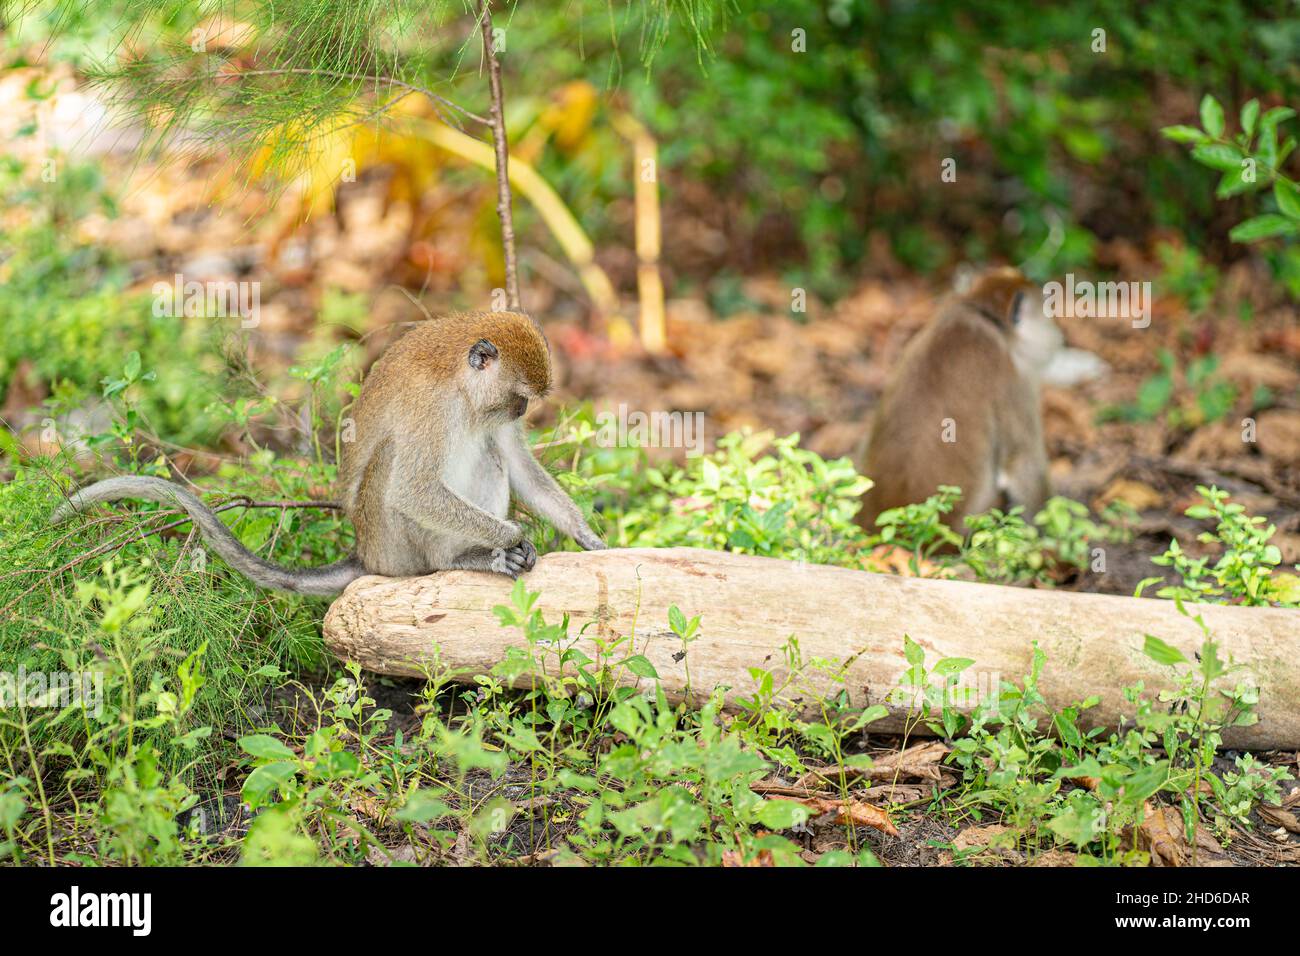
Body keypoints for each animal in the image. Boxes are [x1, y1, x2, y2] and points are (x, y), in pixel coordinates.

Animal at [51, 311, 606, 595]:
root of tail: (365, 552)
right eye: (520, 398)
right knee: (394, 471)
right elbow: (413, 491)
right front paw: (512, 536)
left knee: (491, 454)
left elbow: (518, 464)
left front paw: (586, 536)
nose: (521, 412)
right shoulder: (430, 405)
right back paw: (465, 559)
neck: (461, 387)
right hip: (392, 546)